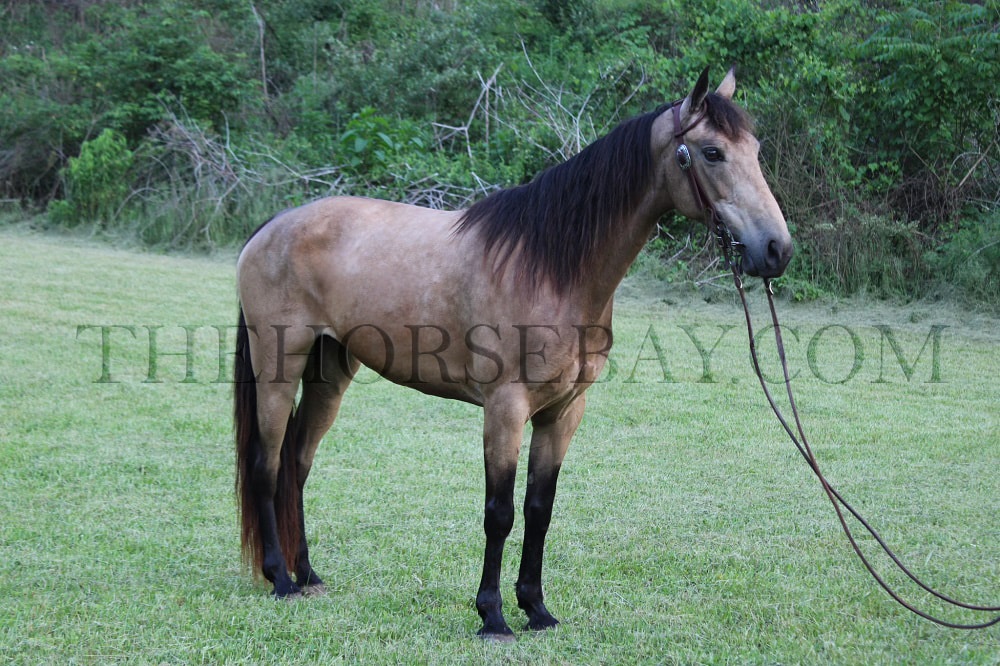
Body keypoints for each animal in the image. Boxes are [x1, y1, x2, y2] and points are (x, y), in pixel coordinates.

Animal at [233, 68, 792, 640]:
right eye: (711, 152)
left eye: (754, 150)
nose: (776, 250)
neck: (551, 267)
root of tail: (272, 227)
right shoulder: (505, 409)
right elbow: (499, 511)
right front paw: (493, 615)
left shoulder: (562, 413)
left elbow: (539, 508)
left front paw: (536, 608)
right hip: (279, 369)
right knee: (266, 463)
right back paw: (280, 579)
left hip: (330, 371)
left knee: (298, 461)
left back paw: (308, 574)